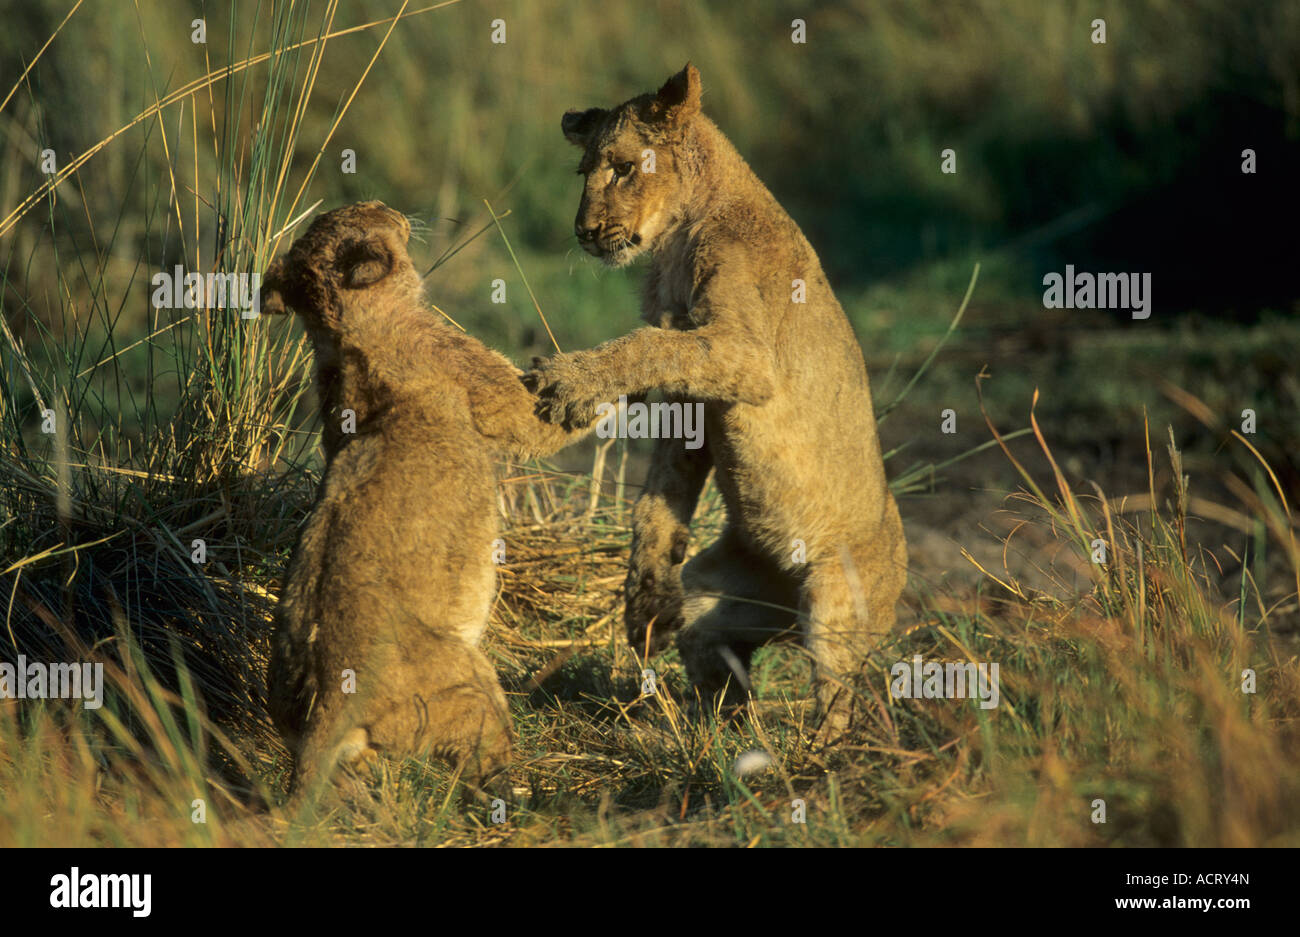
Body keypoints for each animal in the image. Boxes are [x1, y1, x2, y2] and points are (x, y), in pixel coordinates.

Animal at [260, 201, 589, 802]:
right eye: (367, 212)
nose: (392, 208)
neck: (344, 328)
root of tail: (332, 698)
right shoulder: (479, 379)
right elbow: (554, 418)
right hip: (471, 681)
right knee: (487, 769)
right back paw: (531, 800)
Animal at [527, 64, 908, 738]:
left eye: (622, 168)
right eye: (584, 171)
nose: (584, 233)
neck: (675, 240)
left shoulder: (745, 357)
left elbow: (647, 343)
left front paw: (568, 381)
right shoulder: (692, 399)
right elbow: (657, 499)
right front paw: (644, 603)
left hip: (837, 598)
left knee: (843, 694)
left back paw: (816, 752)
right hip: (718, 594)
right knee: (714, 648)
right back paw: (715, 731)